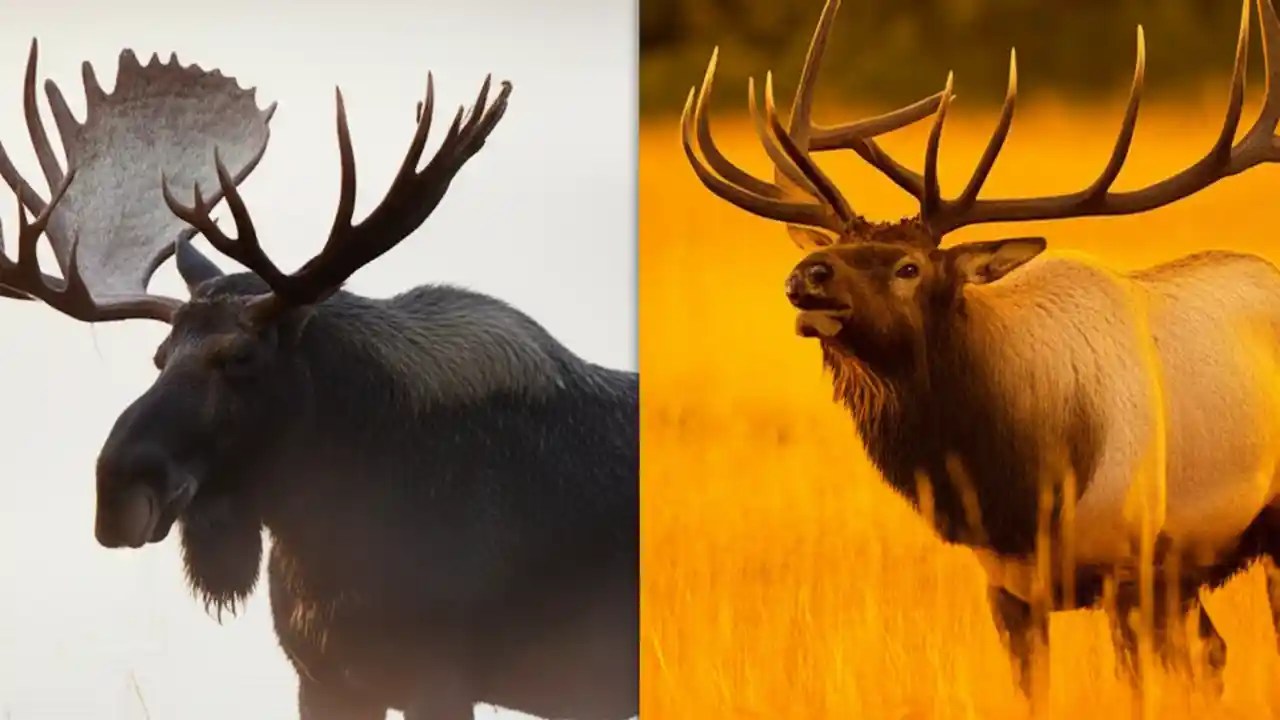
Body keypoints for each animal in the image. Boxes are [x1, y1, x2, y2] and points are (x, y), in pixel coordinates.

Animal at [682, 0, 1280, 698]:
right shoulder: (1009, 590)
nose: (807, 277)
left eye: (909, 266)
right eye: (833, 248)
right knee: (1213, 654)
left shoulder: (1128, 567)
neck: (1021, 490)